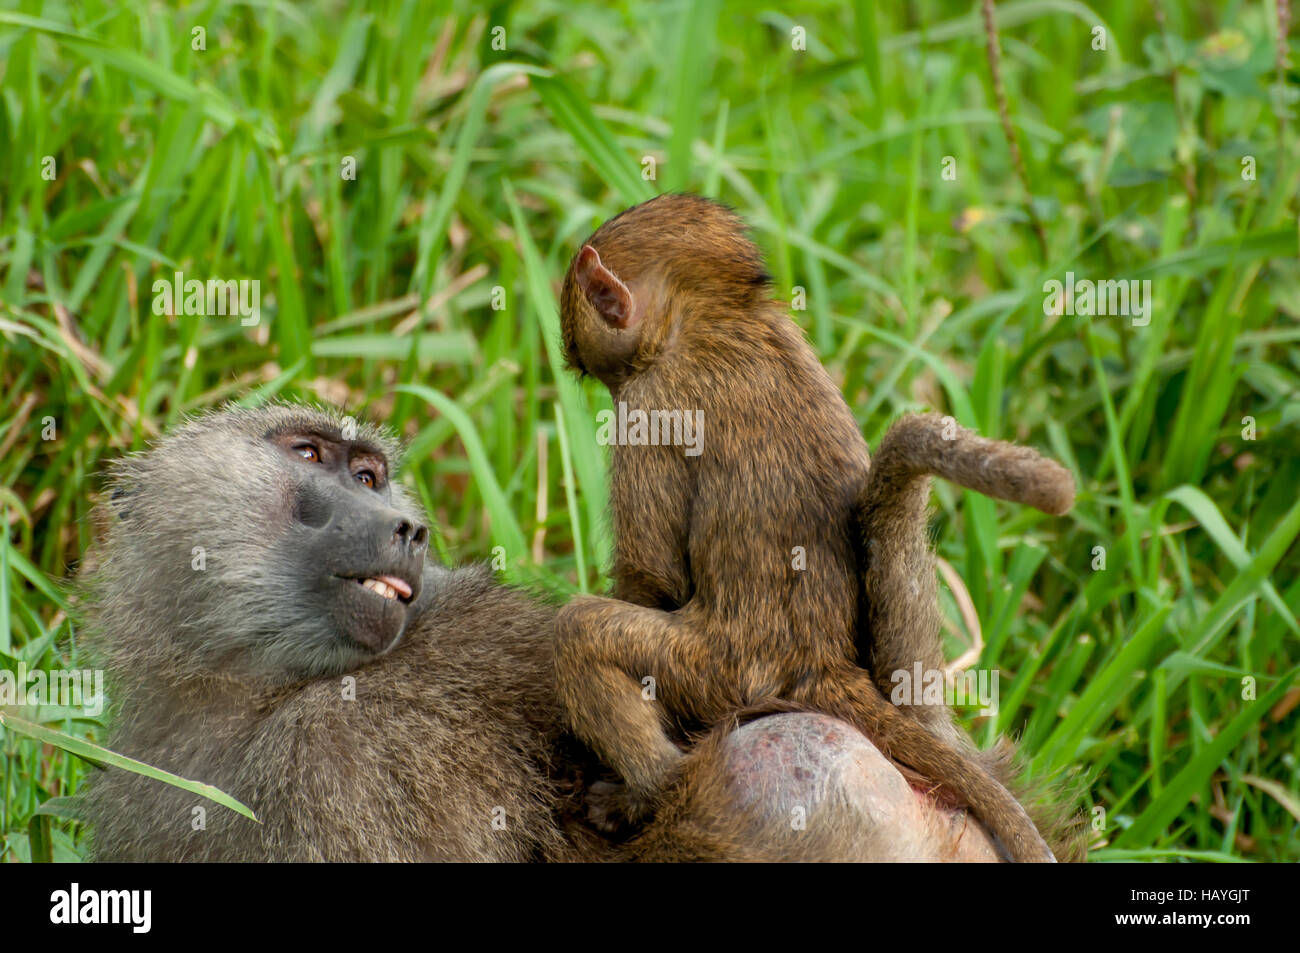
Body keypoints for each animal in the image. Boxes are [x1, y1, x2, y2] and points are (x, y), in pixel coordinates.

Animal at [554, 193, 1077, 863]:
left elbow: (653, 577)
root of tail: (822, 663)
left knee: (581, 632)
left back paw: (648, 793)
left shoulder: (648, 405)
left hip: (717, 672)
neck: (713, 314)